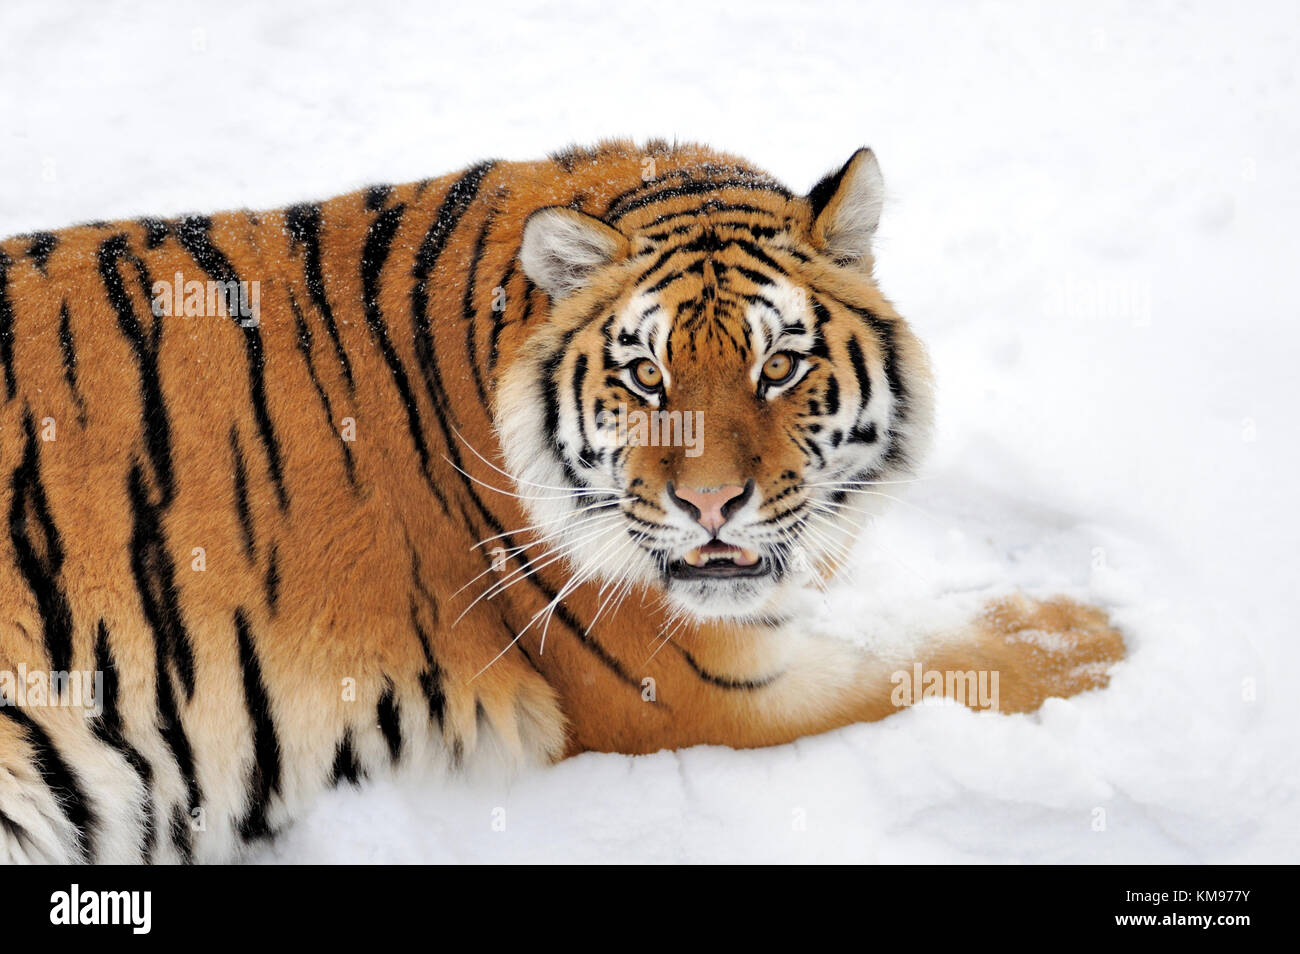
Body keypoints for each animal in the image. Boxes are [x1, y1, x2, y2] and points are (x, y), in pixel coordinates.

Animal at [0, 139, 1125, 864]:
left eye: (778, 367)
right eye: (645, 377)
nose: (712, 505)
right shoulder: (703, 689)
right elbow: (936, 665)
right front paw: (1098, 636)